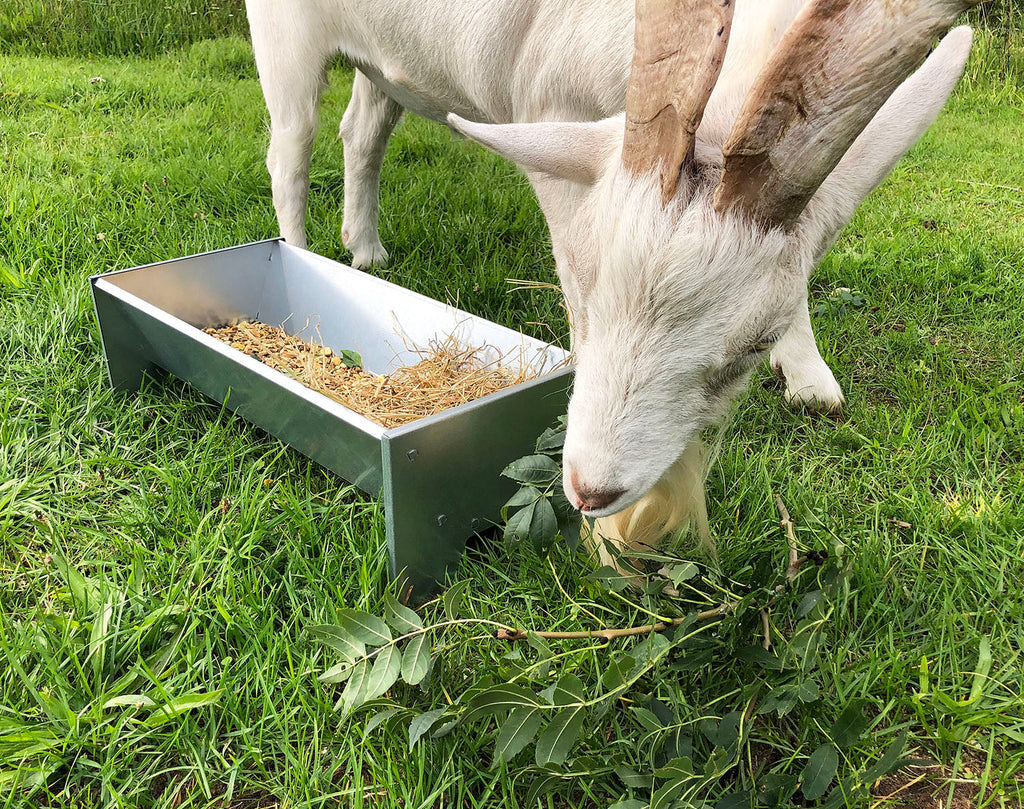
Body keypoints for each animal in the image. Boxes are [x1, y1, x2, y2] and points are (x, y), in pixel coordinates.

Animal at [245, 0, 980, 558]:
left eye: (750, 345)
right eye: (580, 283)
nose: (592, 491)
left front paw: (808, 375)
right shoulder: (550, 112)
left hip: (384, 61)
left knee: (362, 129)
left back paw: (366, 252)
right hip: (286, 37)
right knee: (291, 146)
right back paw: (301, 258)